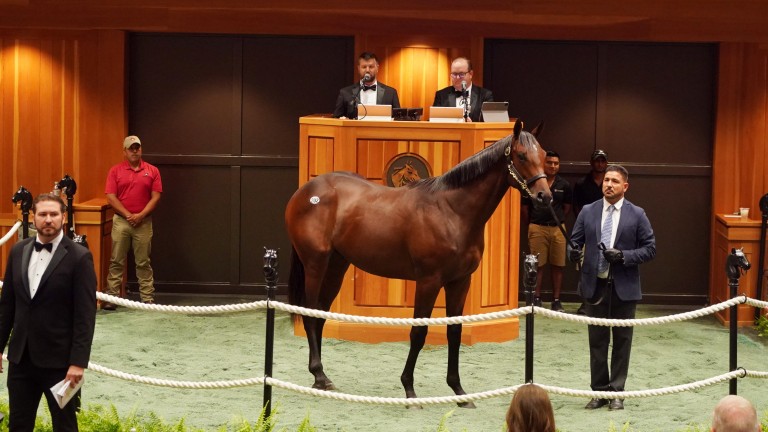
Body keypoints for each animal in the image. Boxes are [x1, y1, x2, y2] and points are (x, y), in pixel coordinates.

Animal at [285, 119, 551, 407]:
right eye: (521, 156)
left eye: (543, 155)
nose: (544, 196)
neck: (452, 211)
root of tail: (306, 191)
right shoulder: (428, 282)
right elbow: (418, 332)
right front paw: (409, 390)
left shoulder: (460, 281)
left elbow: (454, 332)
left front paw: (459, 392)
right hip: (315, 264)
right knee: (309, 313)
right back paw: (319, 375)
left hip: (337, 266)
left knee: (321, 314)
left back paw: (322, 378)